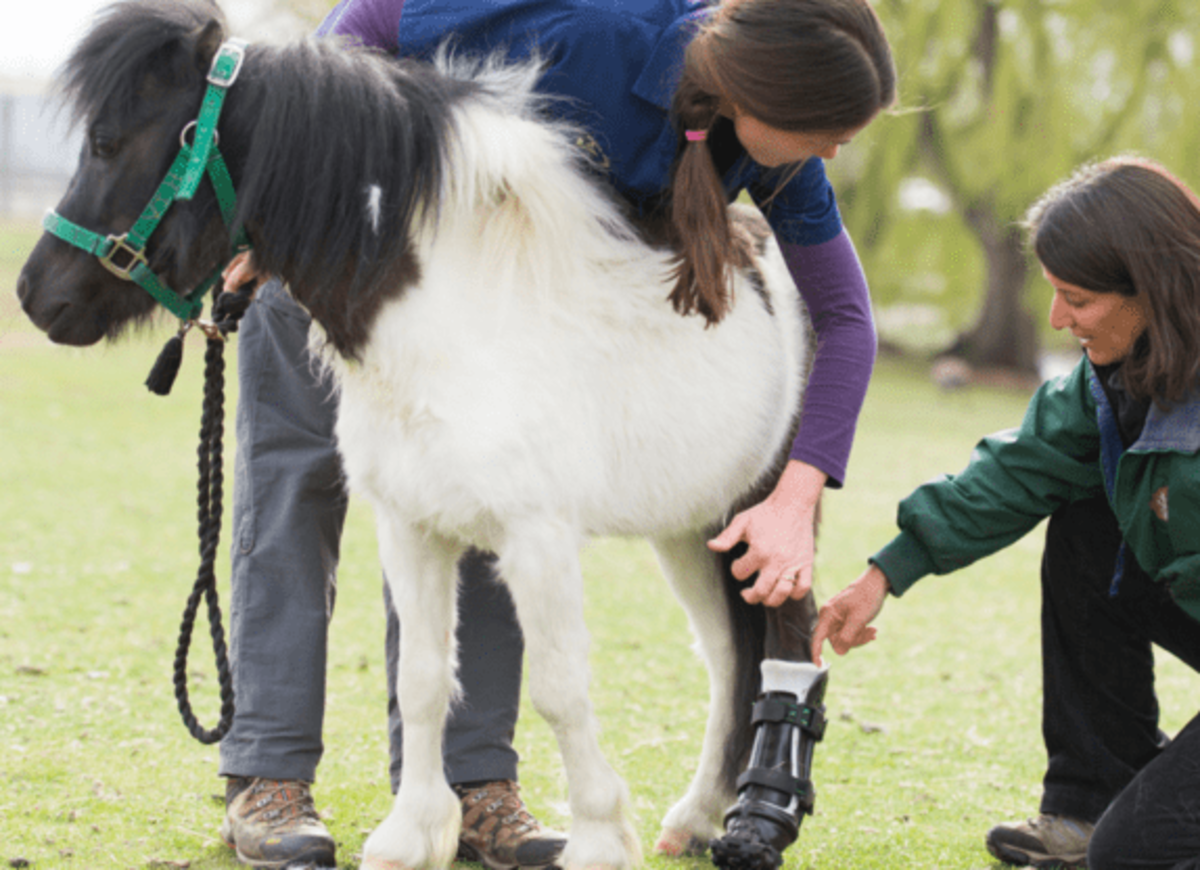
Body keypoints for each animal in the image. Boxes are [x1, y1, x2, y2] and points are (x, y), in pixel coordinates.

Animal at [16, 2, 824, 869]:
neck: (458, 317)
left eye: (107, 143)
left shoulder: (536, 538)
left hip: (767, 524)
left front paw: (599, 838)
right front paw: (412, 836)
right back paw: (697, 818)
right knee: (727, 660)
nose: (35, 294)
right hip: (691, 530)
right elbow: (425, 680)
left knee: (783, 646)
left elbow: (559, 689)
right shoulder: (411, 524)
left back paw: (744, 819)